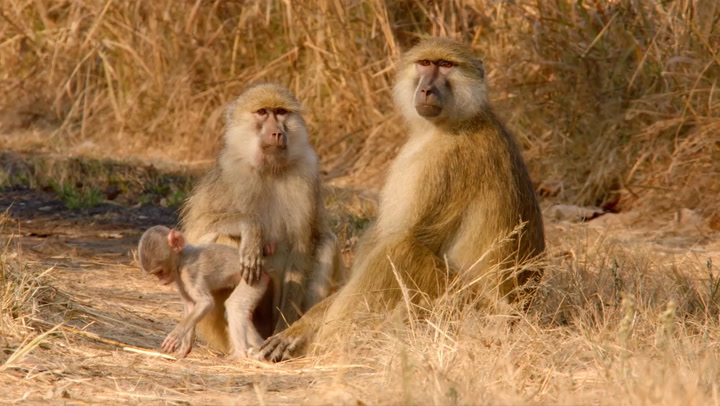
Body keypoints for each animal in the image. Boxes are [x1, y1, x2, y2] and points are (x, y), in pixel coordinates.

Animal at [137, 225, 270, 359]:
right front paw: (185, 349)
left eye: (161, 272)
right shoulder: (179, 279)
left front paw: (177, 333)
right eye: (156, 274)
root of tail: (264, 274)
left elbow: (206, 302)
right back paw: (260, 345)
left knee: (234, 305)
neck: (181, 259)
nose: (162, 281)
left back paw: (240, 354)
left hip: (254, 281)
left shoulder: (189, 273)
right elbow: (190, 305)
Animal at [179, 83, 345, 355]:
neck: (270, 170)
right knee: (224, 240)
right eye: (262, 113)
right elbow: (197, 231)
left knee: (326, 242)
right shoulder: (228, 172)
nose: (277, 133)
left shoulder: (307, 174)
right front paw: (252, 228)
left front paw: (286, 333)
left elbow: (301, 248)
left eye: (281, 112)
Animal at [256, 37, 546, 362]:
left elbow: (404, 240)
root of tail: (518, 314)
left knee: (401, 249)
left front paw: (306, 332)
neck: (453, 122)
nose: (427, 89)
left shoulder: (444, 164)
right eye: (425, 63)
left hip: (463, 310)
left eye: (446, 65)